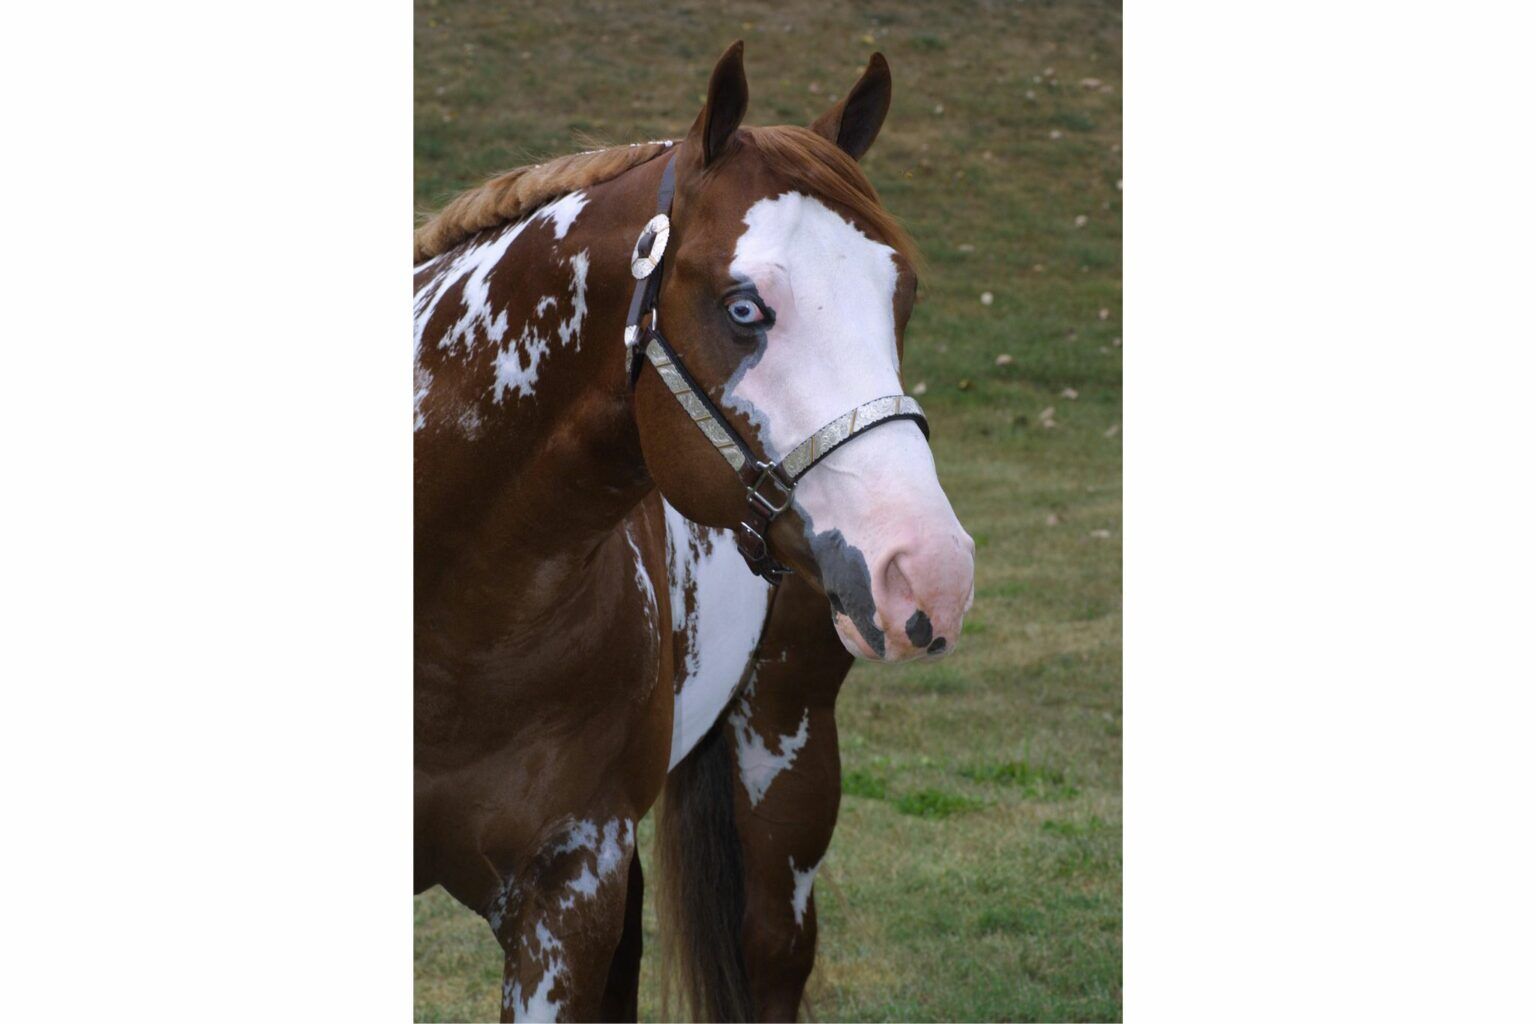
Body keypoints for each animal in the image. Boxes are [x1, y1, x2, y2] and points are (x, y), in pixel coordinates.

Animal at [414, 41, 976, 1022]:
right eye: (742, 306)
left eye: (901, 295)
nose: (930, 572)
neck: (455, 616)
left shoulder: (566, 890)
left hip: (785, 751)